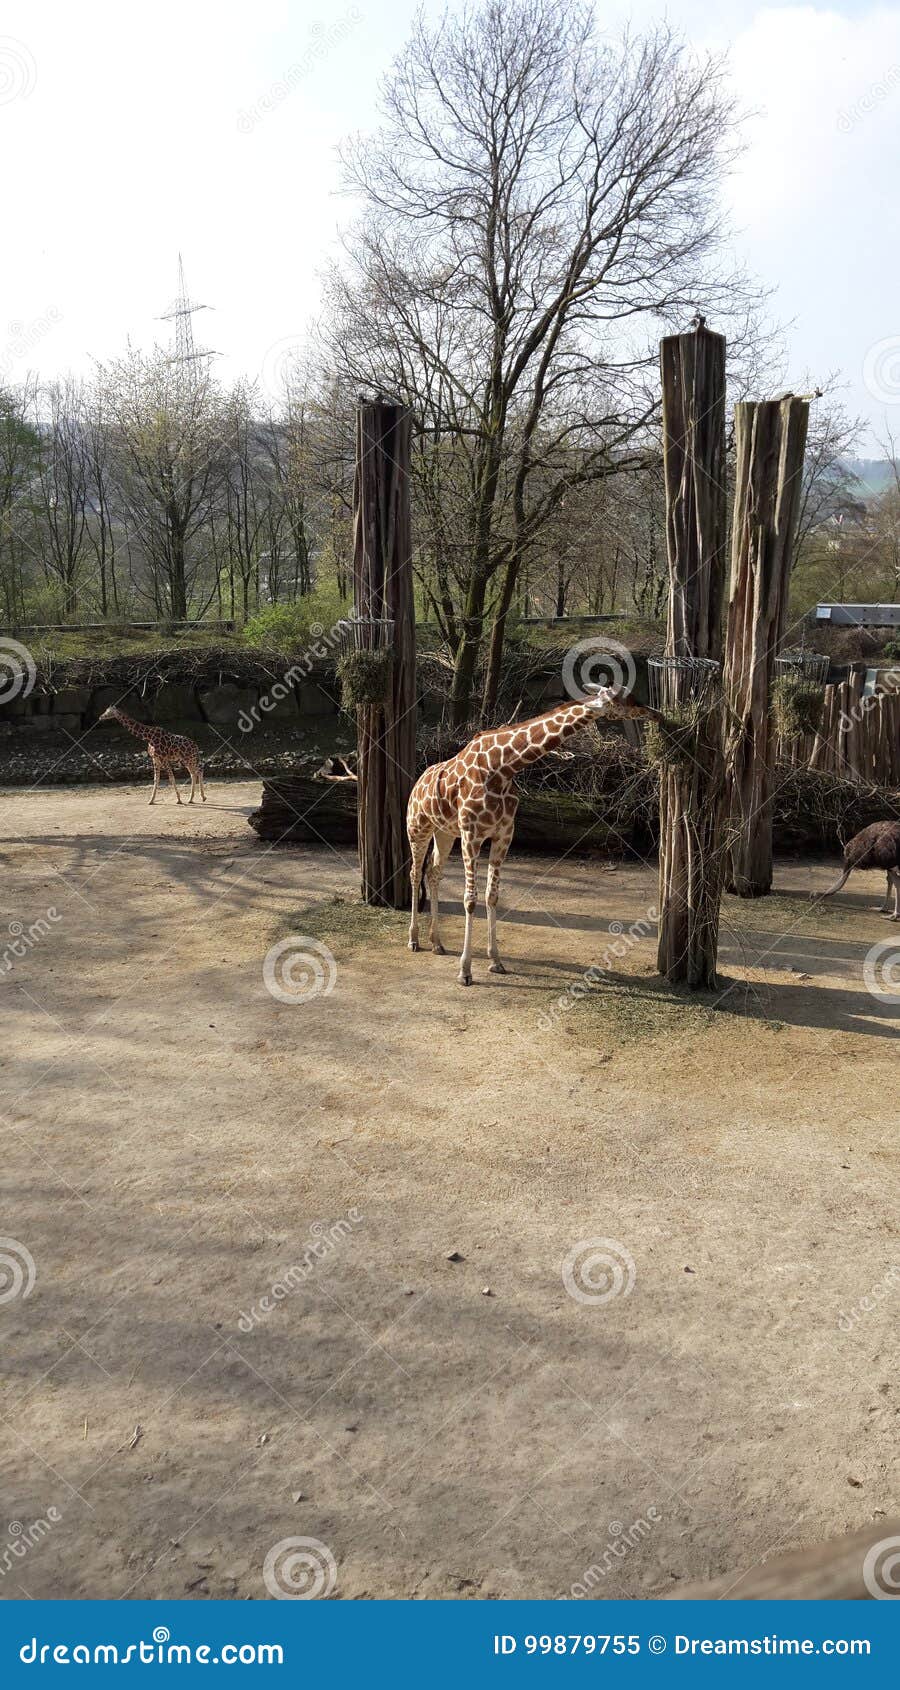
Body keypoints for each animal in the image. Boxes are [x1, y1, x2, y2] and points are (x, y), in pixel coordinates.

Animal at [406, 685, 662, 986]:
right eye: (626, 700)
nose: (655, 713)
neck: (503, 767)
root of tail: (418, 782)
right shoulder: (472, 835)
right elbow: (470, 900)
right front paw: (465, 971)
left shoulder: (503, 834)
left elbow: (492, 896)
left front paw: (496, 961)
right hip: (418, 828)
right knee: (415, 873)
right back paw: (413, 940)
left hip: (444, 833)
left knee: (434, 873)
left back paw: (437, 942)